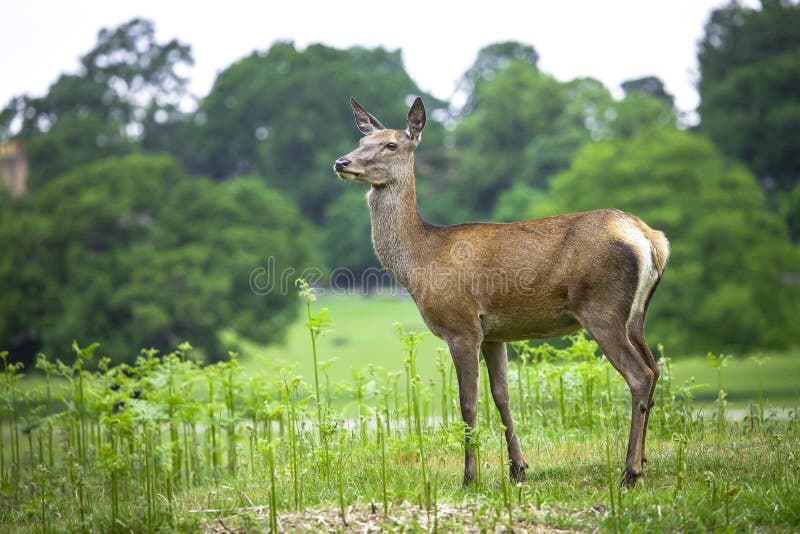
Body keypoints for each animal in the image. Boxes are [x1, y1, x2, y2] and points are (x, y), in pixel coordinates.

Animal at [333, 97, 669, 488]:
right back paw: (643, 460)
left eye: (390, 145)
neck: (420, 262)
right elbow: (502, 396)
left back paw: (629, 472)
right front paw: (517, 468)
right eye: (361, 141)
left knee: (639, 374)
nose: (342, 162)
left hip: (603, 309)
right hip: (636, 315)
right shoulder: (494, 334)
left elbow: (468, 403)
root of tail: (650, 238)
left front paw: (469, 477)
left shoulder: (462, 327)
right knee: (655, 368)